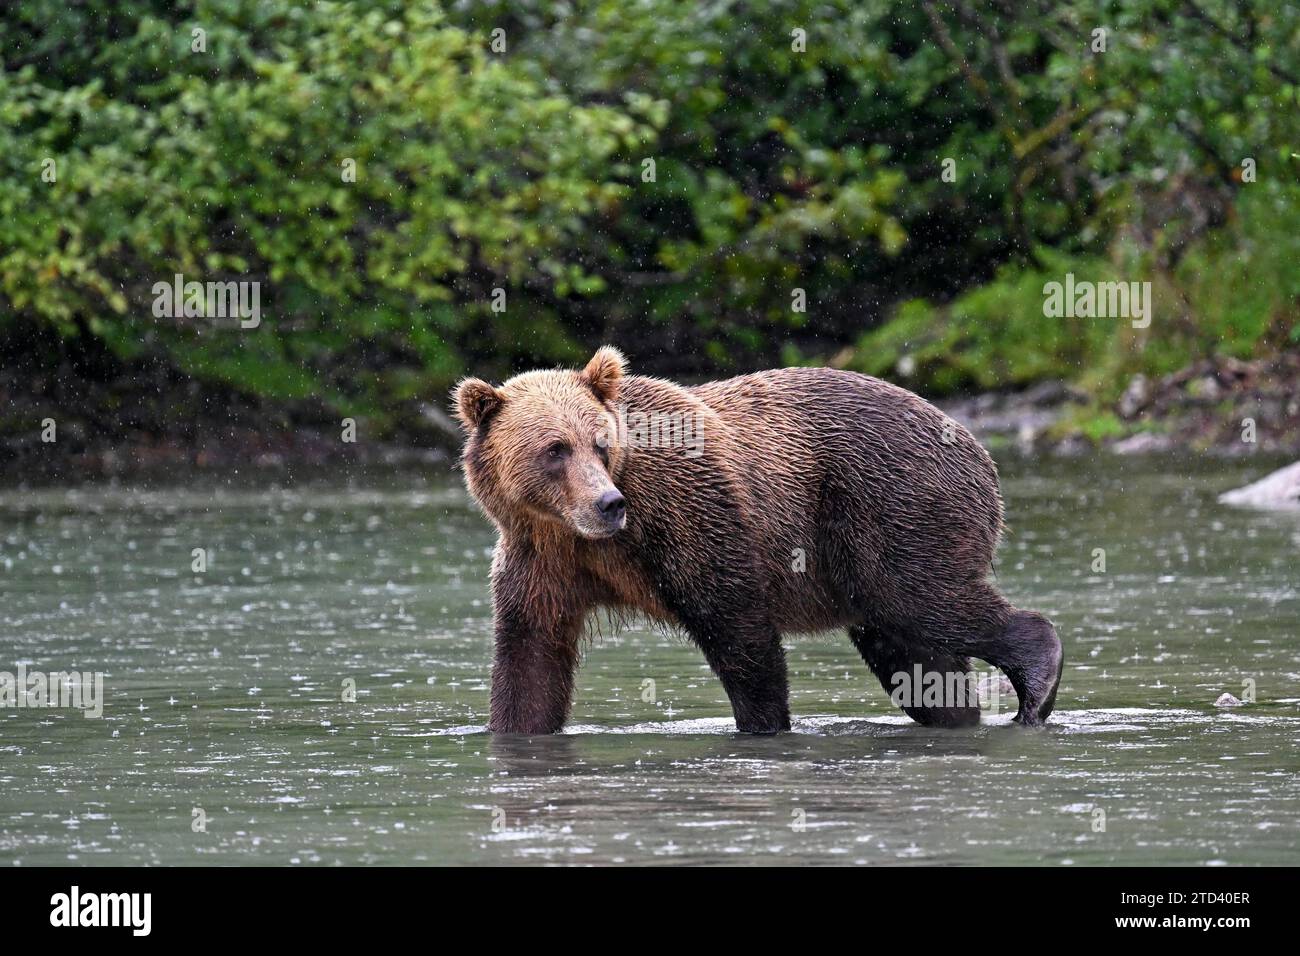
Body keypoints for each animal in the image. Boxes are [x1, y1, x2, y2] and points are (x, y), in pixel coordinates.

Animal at [453, 346, 1063, 735]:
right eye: (555, 449)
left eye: (600, 443)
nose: (608, 504)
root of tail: (975, 445)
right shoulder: (542, 559)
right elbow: (530, 661)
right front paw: (512, 730)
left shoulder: (691, 512)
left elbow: (739, 631)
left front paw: (762, 726)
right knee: (911, 652)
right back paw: (957, 713)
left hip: (890, 504)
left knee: (922, 598)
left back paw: (1036, 682)